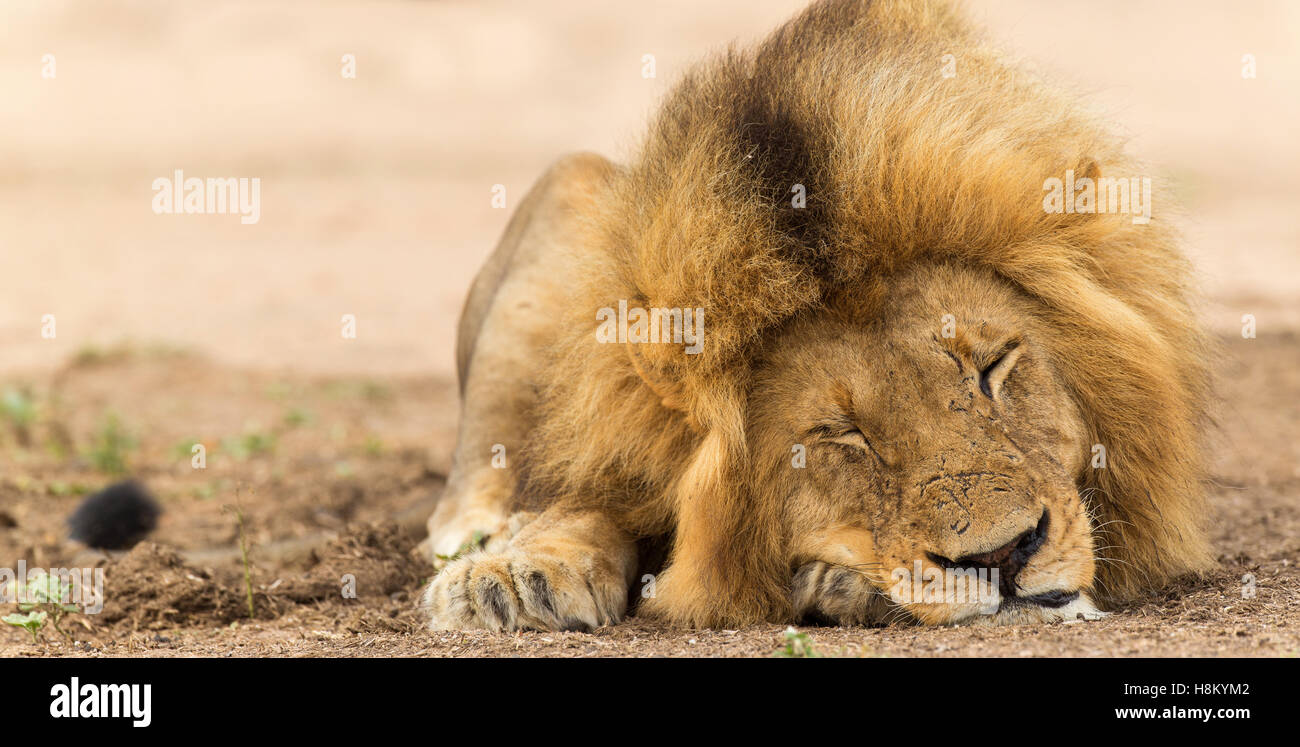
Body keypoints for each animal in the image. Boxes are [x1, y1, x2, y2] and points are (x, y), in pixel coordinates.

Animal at [418, 0, 1214, 631]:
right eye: (841, 434)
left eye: (993, 367)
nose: (1001, 554)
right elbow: (585, 495)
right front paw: (515, 576)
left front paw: (842, 584)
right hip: (569, 193)